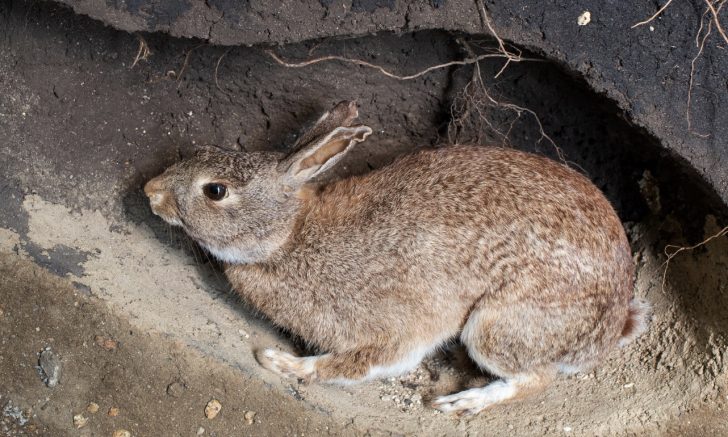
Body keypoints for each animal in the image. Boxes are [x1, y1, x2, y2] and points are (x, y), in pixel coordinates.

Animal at [144, 101, 650, 415]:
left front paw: (283, 363)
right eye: (204, 151)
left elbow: (359, 364)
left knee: (535, 378)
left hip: (498, 325)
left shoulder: (395, 330)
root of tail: (612, 326)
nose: (150, 192)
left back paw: (463, 403)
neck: (288, 237)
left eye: (215, 191)